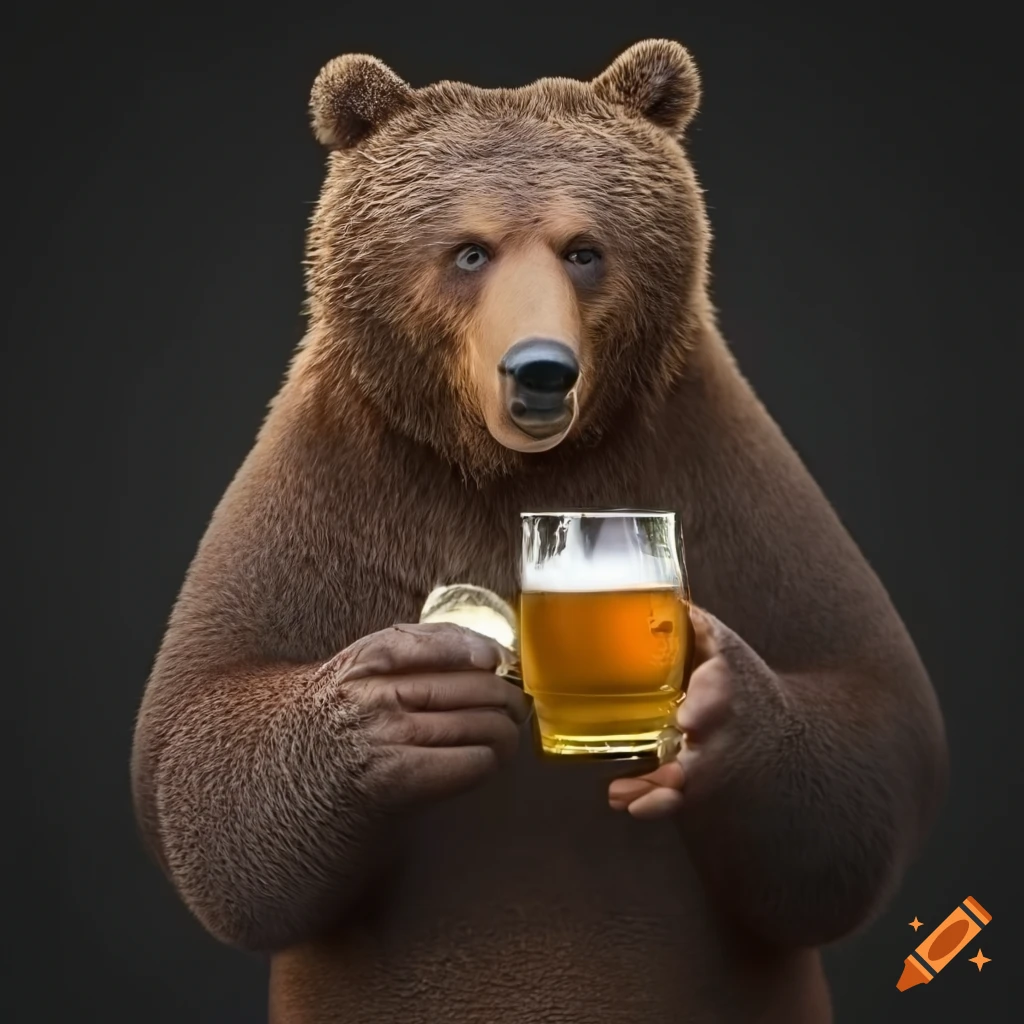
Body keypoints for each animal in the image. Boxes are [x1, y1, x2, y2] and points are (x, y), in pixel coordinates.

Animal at [130, 39, 949, 1024]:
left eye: (584, 249)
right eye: (469, 251)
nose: (542, 372)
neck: (507, 473)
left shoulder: (724, 471)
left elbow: (873, 711)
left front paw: (710, 705)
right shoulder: (327, 493)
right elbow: (195, 746)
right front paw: (407, 705)